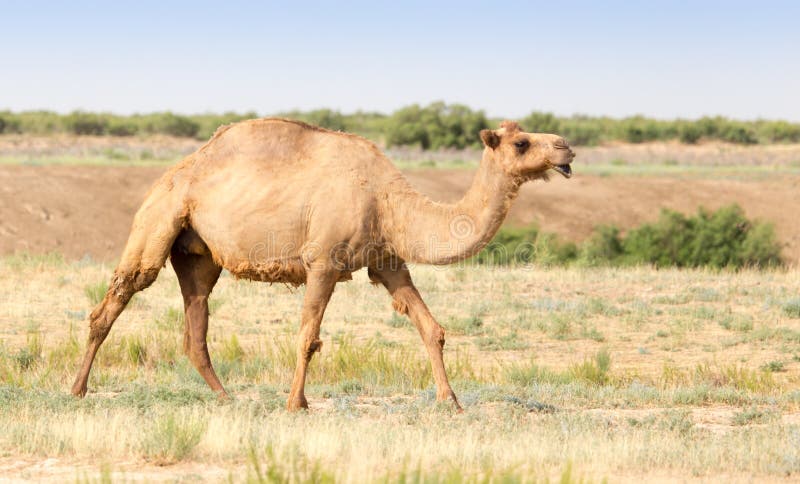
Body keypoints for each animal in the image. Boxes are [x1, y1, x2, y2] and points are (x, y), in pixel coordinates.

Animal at [70, 118, 574, 411]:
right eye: (522, 142)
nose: (566, 148)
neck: (388, 200)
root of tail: (172, 173)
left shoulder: (387, 261)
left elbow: (430, 327)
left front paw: (450, 401)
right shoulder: (323, 261)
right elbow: (308, 336)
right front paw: (297, 403)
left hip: (198, 254)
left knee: (195, 324)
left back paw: (227, 398)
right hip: (158, 221)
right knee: (114, 300)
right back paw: (76, 389)